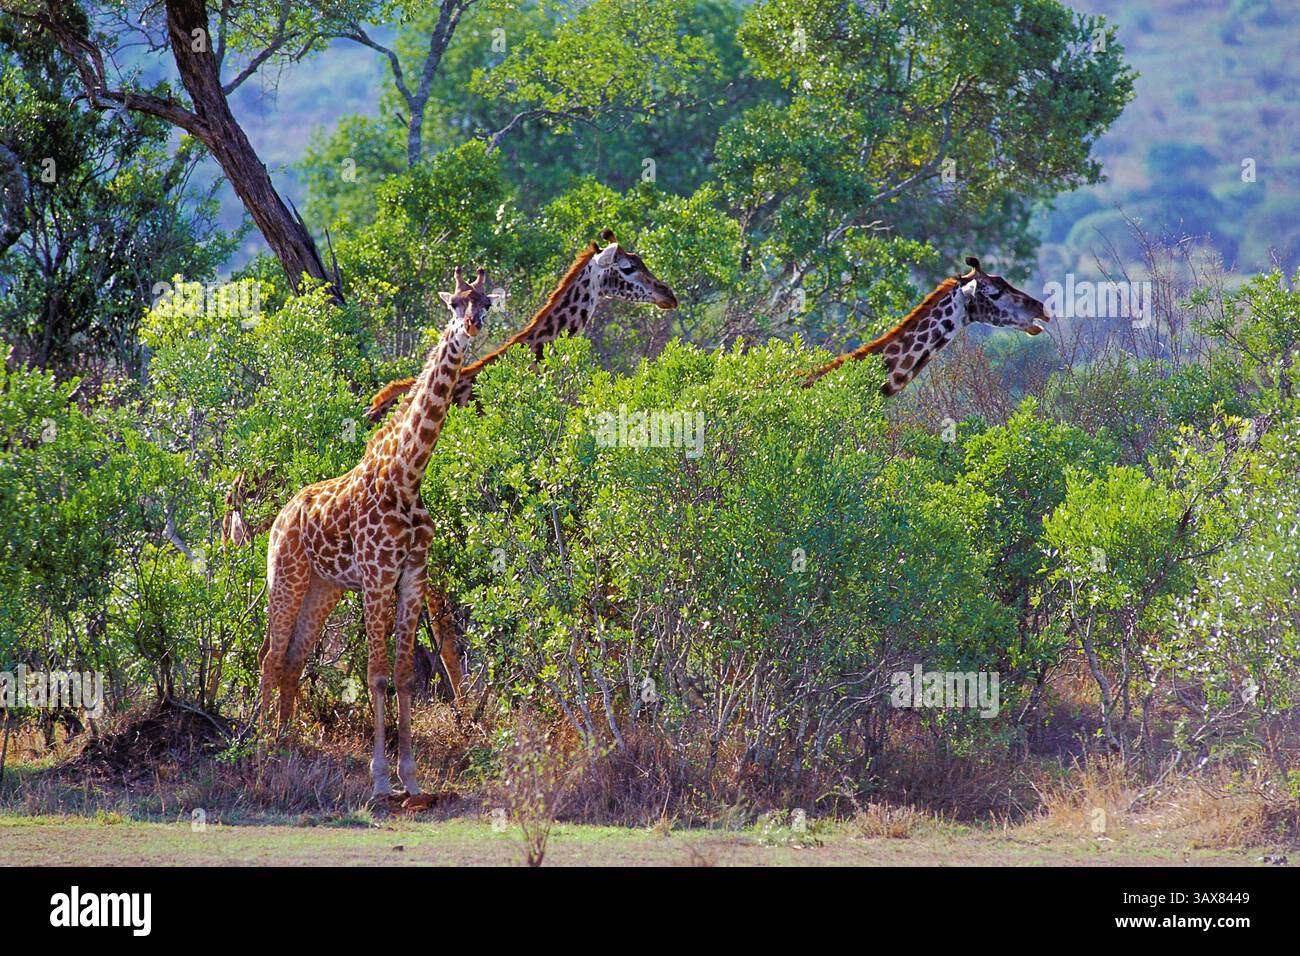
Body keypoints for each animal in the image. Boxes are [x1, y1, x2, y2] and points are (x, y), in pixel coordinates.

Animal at [257, 266, 492, 798]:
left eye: (486, 302)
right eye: (455, 304)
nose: (471, 327)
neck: (407, 475)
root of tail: (281, 516)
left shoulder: (412, 579)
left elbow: (404, 676)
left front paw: (411, 777)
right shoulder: (378, 579)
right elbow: (377, 675)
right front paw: (382, 780)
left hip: (322, 587)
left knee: (293, 660)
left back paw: (284, 744)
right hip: (286, 576)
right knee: (270, 657)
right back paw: (255, 751)